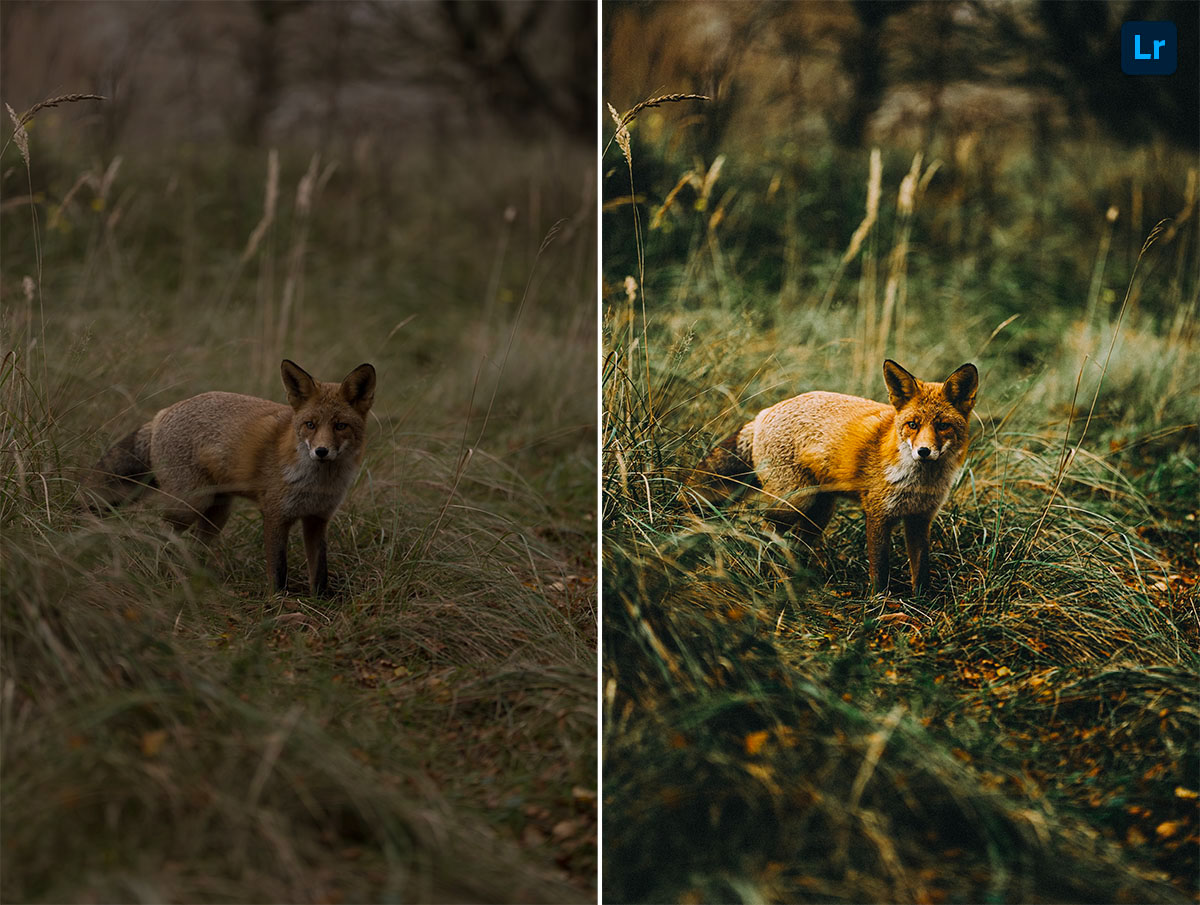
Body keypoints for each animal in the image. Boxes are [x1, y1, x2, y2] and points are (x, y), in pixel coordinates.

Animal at [89, 359, 376, 596]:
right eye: (310, 425)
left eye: (340, 426)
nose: (321, 451)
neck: (317, 484)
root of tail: (163, 413)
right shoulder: (274, 514)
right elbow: (278, 570)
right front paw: (278, 604)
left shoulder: (317, 519)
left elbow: (319, 572)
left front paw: (320, 602)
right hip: (189, 506)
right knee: (162, 535)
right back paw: (168, 574)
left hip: (217, 512)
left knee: (197, 546)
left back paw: (199, 580)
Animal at [685, 360, 979, 594]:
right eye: (913, 425)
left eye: (943, 426)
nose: (924, 451)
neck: (919, 483)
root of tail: (763, 414)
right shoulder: (878, 514)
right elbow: (880, 569)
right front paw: (880, 605)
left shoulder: (920, 519)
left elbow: (921, 570)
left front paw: (922, 603)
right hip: (794, 503)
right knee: (765, 528)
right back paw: (773, 571)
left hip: (820, 511)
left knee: (797, 542)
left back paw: (800, 577)